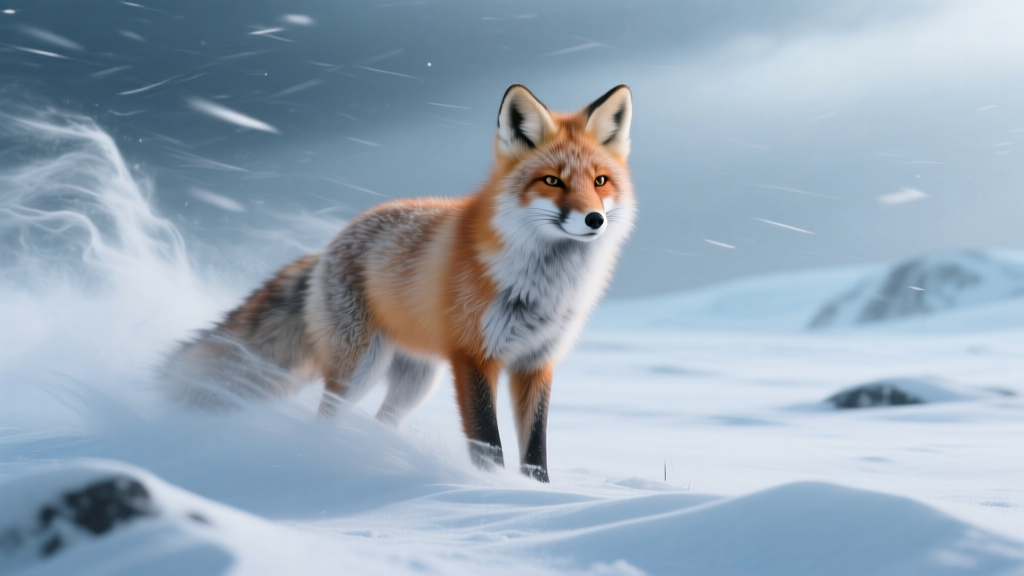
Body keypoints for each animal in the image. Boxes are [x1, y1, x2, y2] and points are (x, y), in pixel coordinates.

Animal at [163, 84, 636, 482]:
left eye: (600, 181)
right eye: (552, 180)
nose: (594, 219)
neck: (543, 285)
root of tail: (331, 243)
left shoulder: (537, 361)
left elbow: (535, 451)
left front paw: (536, 495)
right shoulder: (473, 356)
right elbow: (487, 444)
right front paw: (492, 490)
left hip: (416, 381)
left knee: (382, 421)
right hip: (361, 368)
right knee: (326, 415)